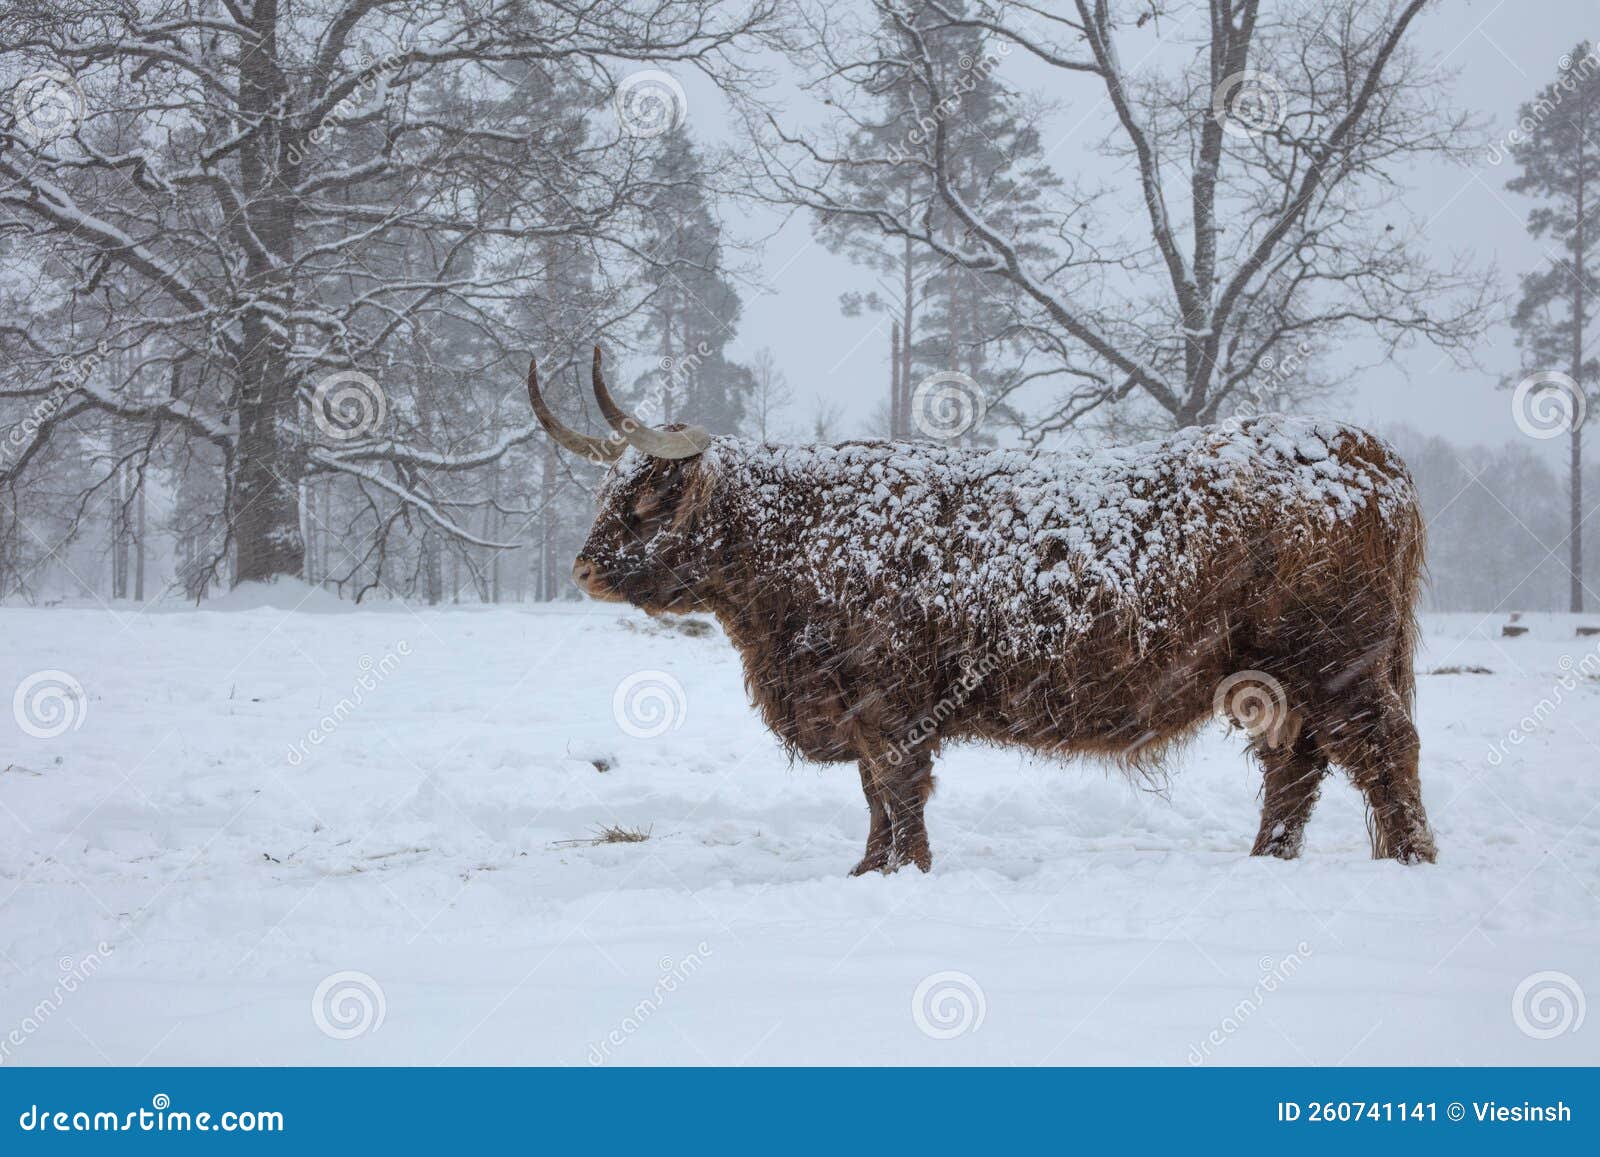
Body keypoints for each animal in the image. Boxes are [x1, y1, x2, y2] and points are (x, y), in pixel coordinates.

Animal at [529, 348, 1436, 875]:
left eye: (649, 496)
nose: (582, 567)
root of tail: (1364, 448)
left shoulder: (890, 699)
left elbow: (898, 789)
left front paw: (907, 872)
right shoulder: (862, 704)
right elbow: (874, 794)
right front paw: (869, 871)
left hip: (1336, 663)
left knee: (1383, 751)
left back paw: (1410, 859)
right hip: (1281, 678)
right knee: (1298, 767)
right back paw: (1265, 862)